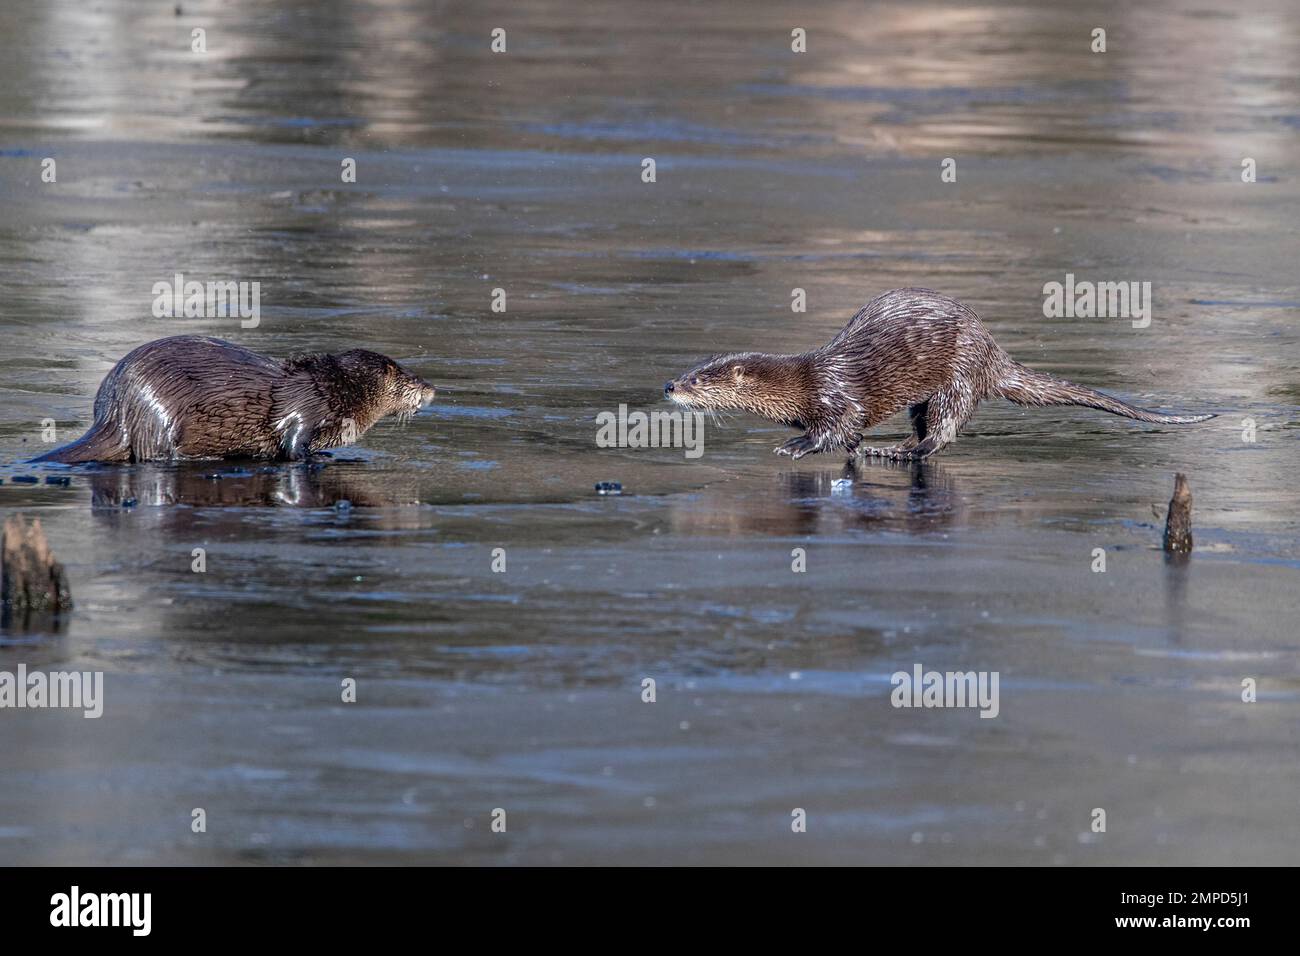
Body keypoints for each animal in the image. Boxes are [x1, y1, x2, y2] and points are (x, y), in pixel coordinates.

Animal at [33, 336, 435, 464]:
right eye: (408, 377)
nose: (432, 387)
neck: (331, 389)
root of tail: (113, 410)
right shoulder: (304, 410)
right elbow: (293, 444)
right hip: (158, 416)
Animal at [665, 288, 1213, 460]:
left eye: (700, 379)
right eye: (690, 369)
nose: (670, 385)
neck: (802, 385)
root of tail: (993, 352)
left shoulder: (835, 396)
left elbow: (840, 425)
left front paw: (796, 445)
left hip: (958, 376)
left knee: (945, 429)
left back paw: (908, 451)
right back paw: (896, 446)